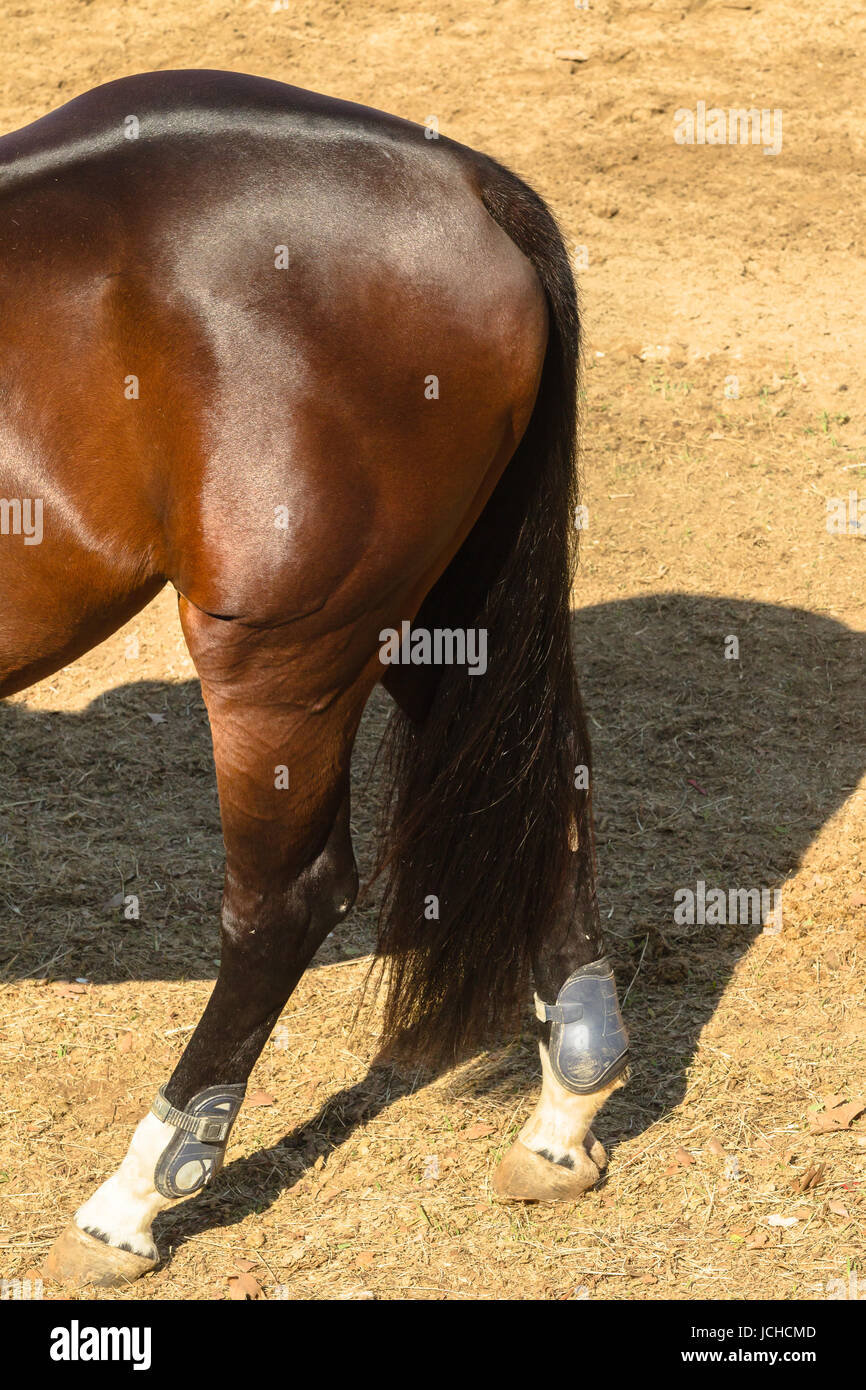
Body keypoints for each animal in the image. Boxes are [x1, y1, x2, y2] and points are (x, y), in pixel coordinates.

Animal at [0, 69, 629, 1288]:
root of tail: (460, 178)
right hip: (427, 624)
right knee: (545, 781)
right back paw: (563, 1117)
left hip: (281, 653)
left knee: (284, 903)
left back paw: (133, 1201)